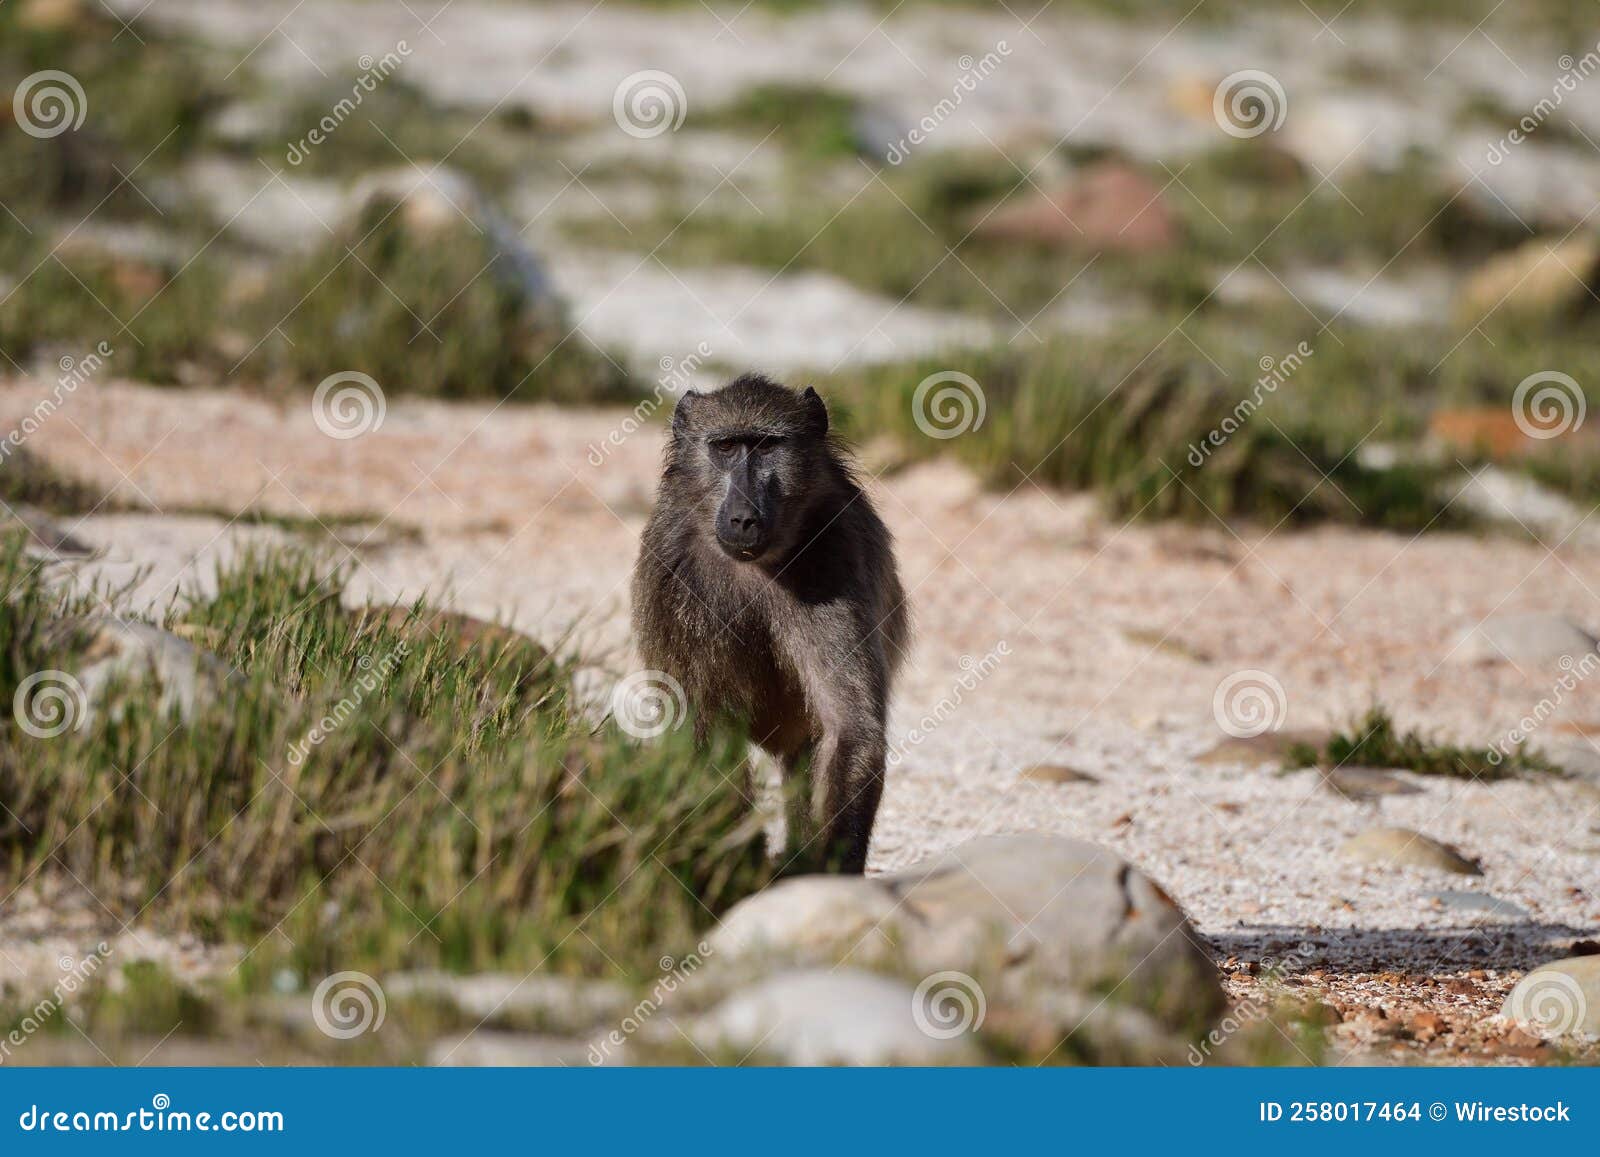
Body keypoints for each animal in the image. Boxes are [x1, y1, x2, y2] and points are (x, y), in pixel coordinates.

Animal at [630, 373, 908, 874]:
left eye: (765, 446)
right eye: (725, 447)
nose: (743, 517)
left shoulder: (833, 554)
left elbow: (849, 726)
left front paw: (824, 870)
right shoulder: (671, 569)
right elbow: (698, 722)